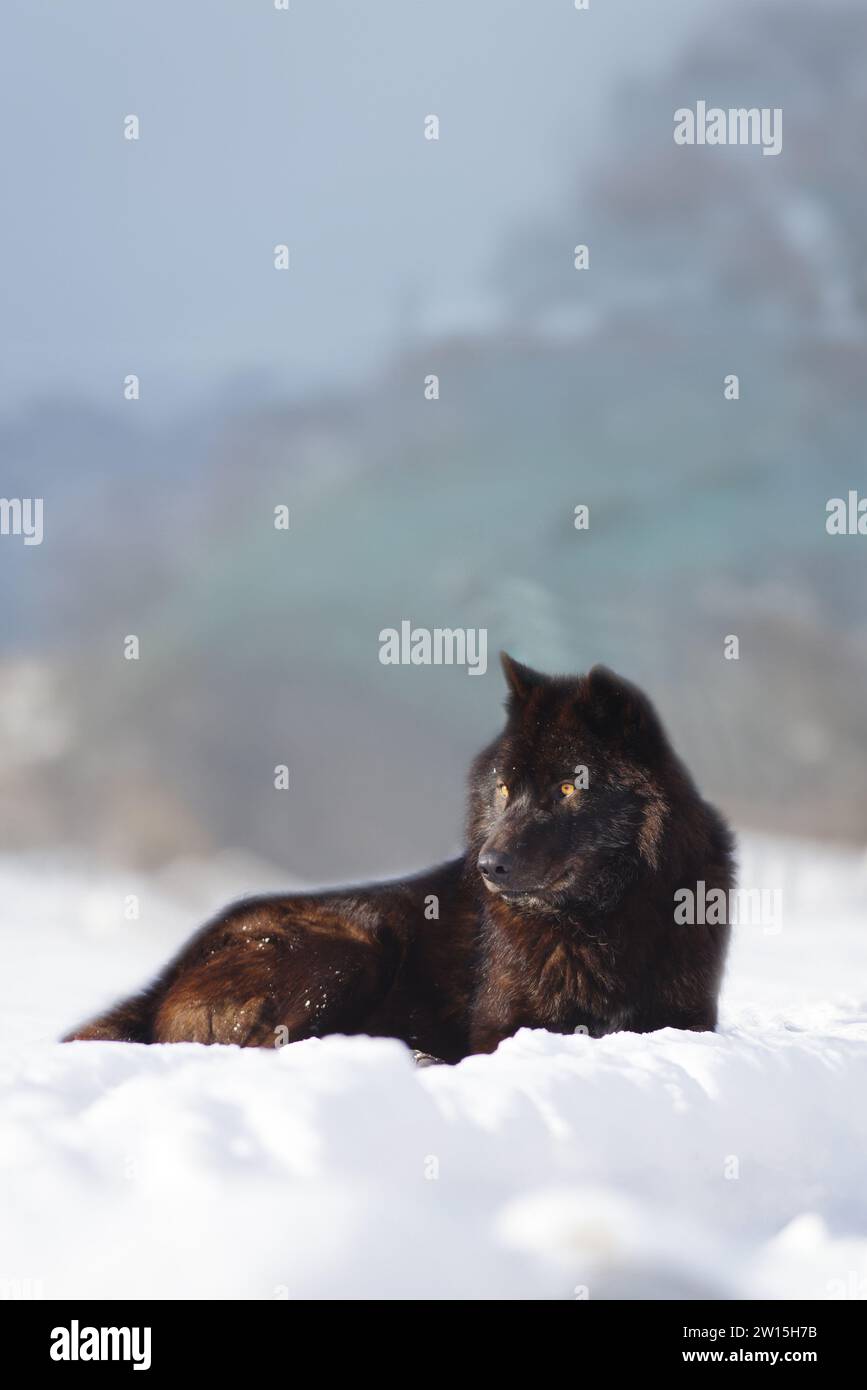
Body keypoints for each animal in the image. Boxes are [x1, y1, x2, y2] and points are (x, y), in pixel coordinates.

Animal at [64, 657, 734, 1058]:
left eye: (569, 788)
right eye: (505, 789)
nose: (488, 865)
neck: (601, 921)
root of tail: (162, 981)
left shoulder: (689, 1018)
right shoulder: (502, 1028)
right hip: (352, 948)